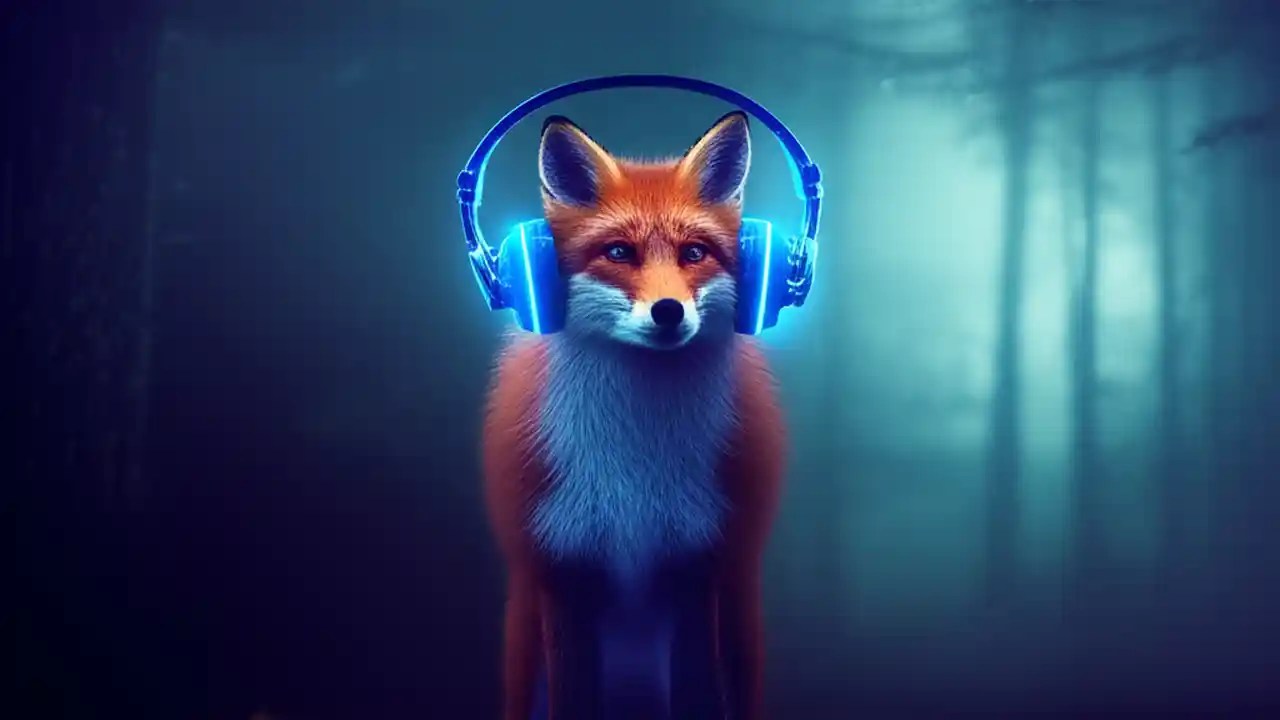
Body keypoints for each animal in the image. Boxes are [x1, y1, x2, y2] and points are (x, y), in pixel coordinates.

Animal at [482, 109, 785, 720]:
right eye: (619, 253)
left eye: (694, 253)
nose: (668, 312)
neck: (633, 469)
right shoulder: (563, 570)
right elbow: (572, 699)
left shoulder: (696, 566)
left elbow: (699, 695)